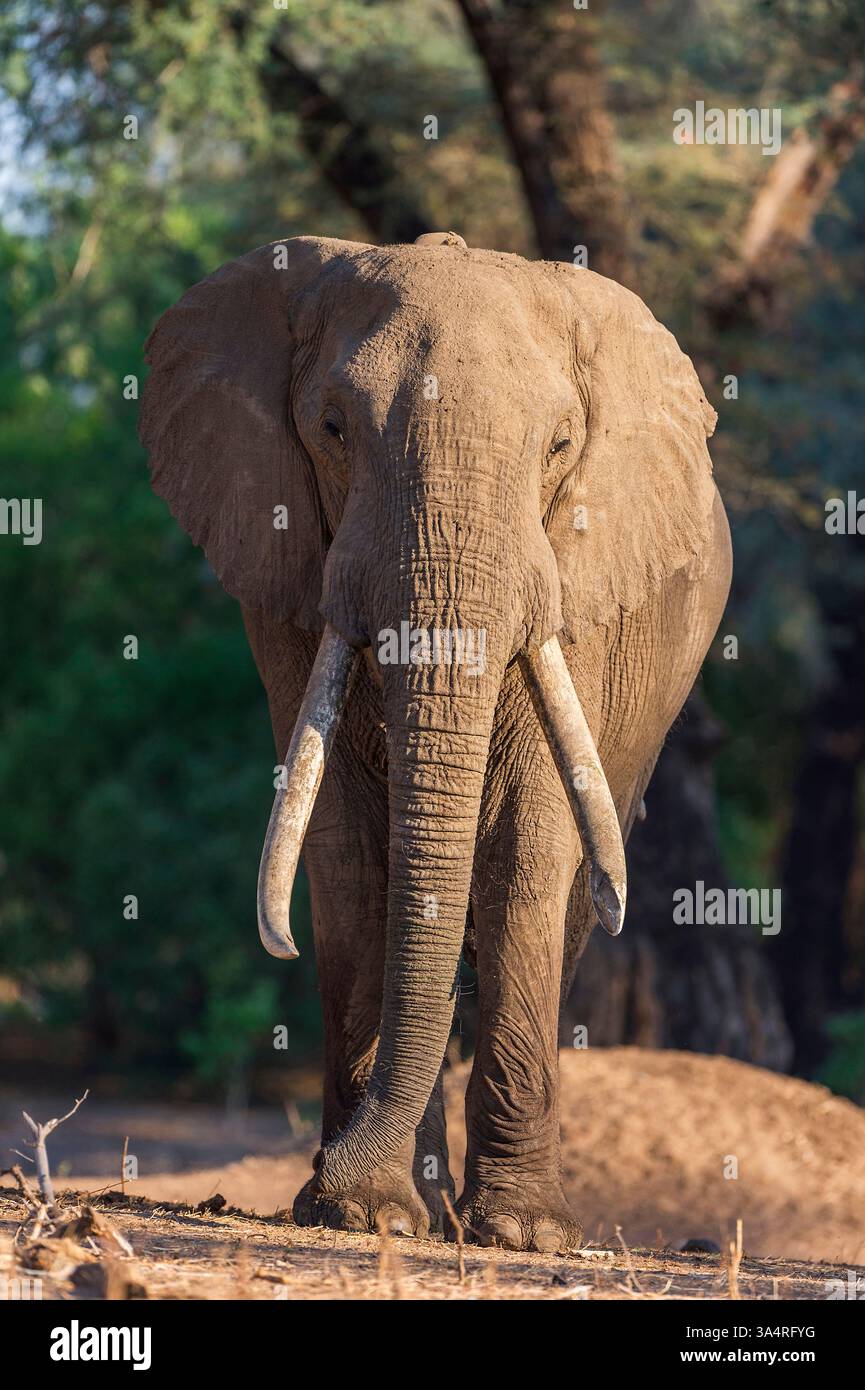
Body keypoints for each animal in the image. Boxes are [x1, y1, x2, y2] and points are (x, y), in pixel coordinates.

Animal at [140, 231, 731, 1253]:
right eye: (332, 428)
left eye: (560, 445)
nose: (326, 1165)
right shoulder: (289, 572)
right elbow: (346, 844)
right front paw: (361, 1211)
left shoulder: (572, 576)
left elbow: (530, 839)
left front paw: (523, 1235)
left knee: (568, 897)